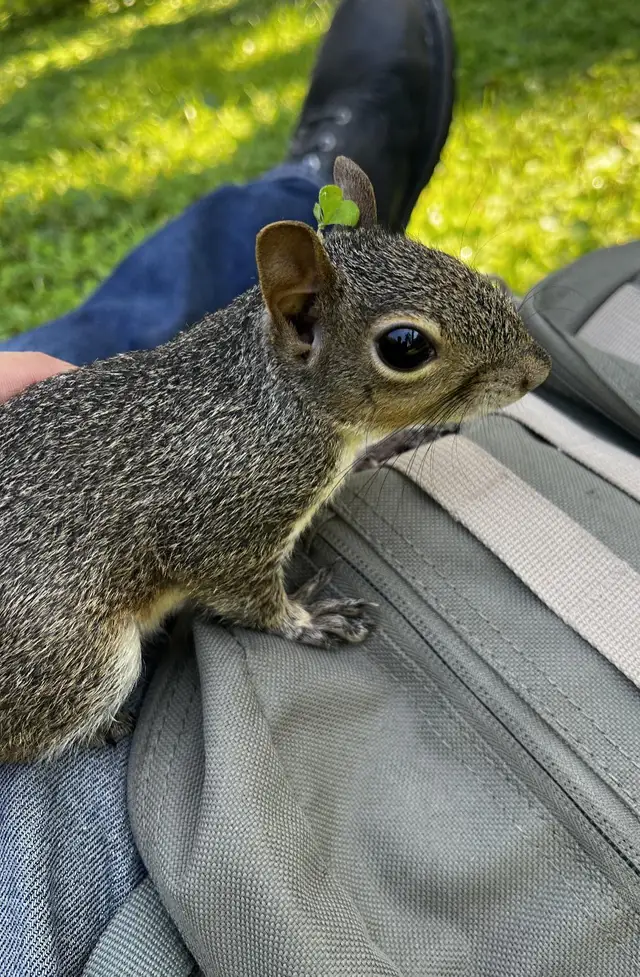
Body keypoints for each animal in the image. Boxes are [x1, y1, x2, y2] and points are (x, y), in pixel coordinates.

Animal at [0, 157, 550, 762]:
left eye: (456, 263)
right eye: (405, 347)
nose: (539, 370)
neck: (274, 397)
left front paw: (398, 442)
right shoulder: (223, 527)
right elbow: (247, 599)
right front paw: (308, 620)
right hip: (76, 659)